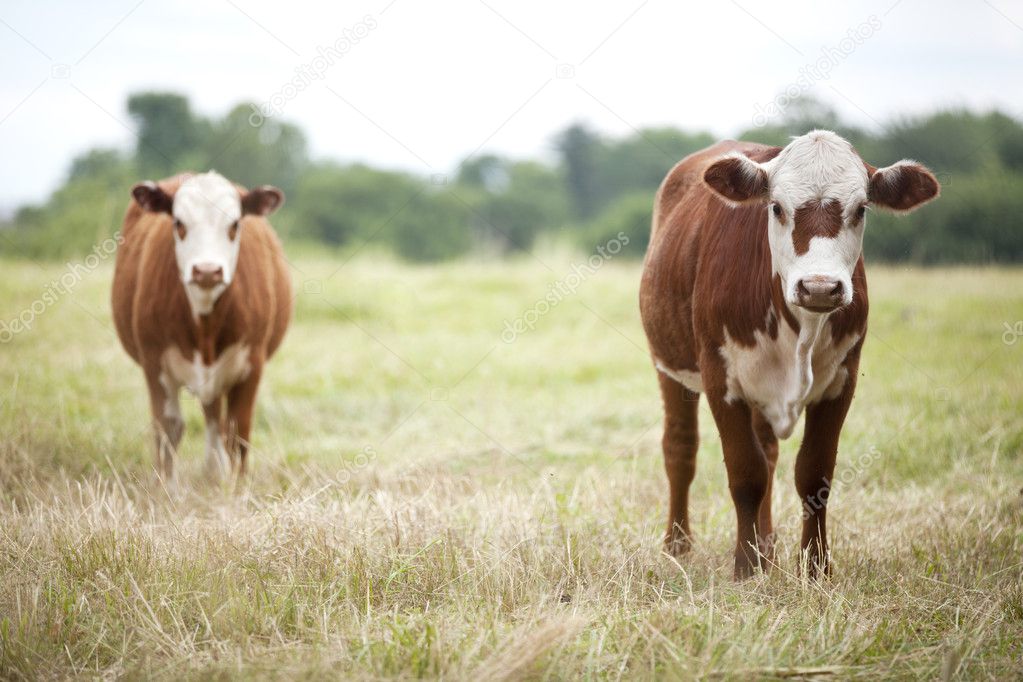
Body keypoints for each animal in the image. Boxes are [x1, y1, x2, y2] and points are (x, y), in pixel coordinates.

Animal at [112, 171, 291, 486]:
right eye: (178, 223)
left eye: (234, 224)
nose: (207, 270)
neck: (205, 324)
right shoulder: (153, 362)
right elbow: (169, 429)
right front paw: (167, 489)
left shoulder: (252, 363)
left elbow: (238, 432)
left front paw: (237, 488)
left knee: (215, 420)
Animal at [639, 130, 939, 579]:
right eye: (777, 207)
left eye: (861, 208)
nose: (819, 287)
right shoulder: (719, 376)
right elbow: (746, 472)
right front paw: (745, 568)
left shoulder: (842, 380)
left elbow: (813, 473)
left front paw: (815, 567)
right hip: (671, 368)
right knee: (680, 449)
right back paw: (679, 545)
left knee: (769, 451)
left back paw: (767, 545)